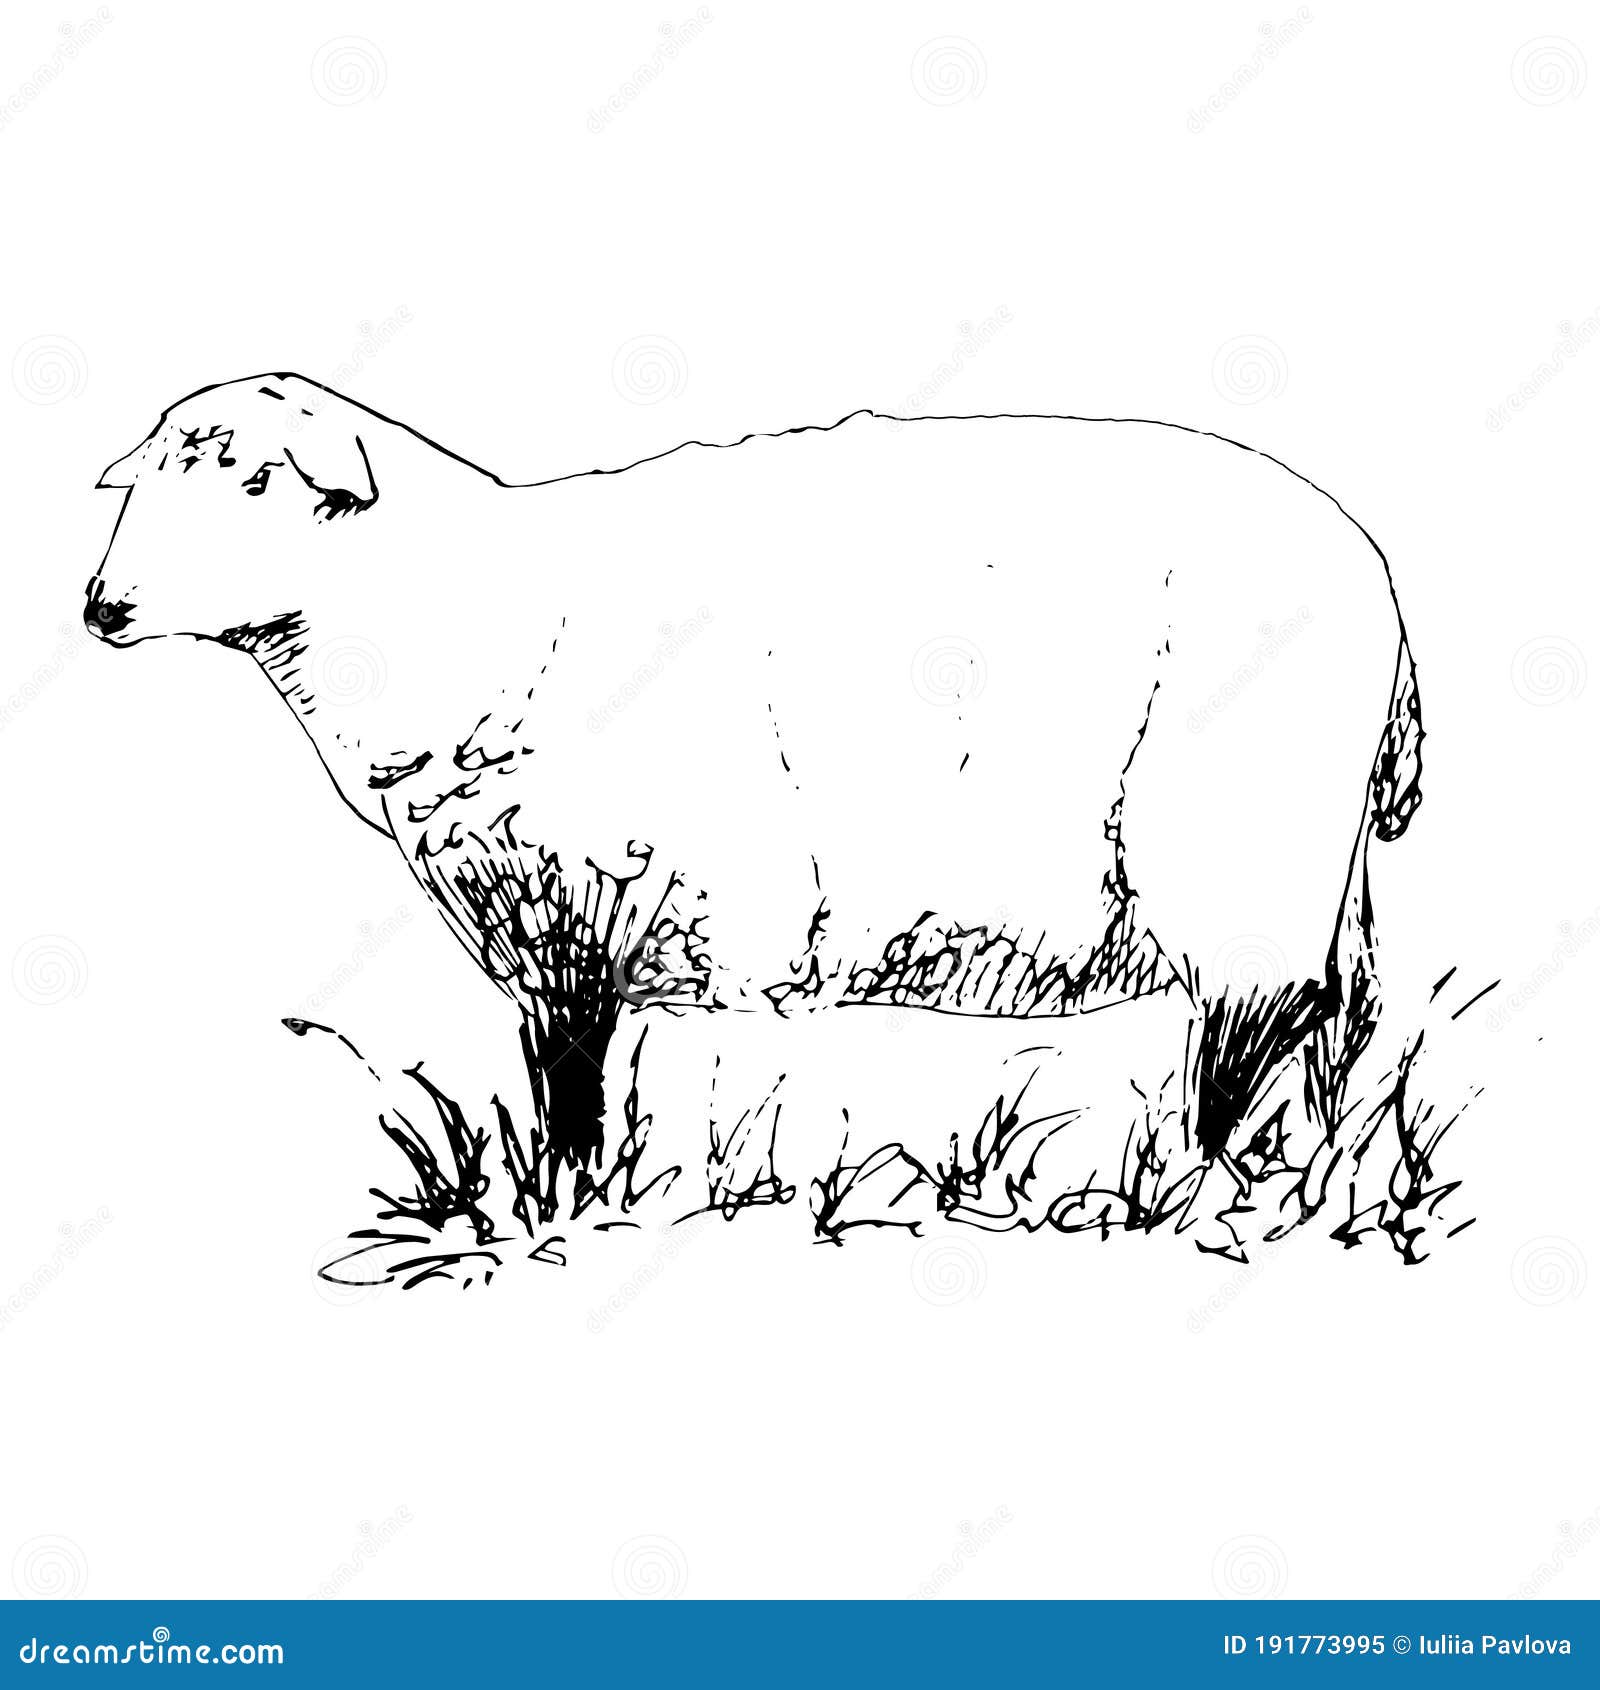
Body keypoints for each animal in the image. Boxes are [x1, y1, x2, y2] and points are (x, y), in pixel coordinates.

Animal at [85, 373, 1422, 1227]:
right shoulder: (558, 934)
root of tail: (1378, 577)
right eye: (146, 481)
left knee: (1257, 1018)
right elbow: (567, 1088)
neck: (464, 609)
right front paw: (568, 1205)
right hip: (1331, 865)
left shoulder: (653, 899)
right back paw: (1306, 1179)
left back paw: (1189, 1189)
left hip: (1243, 843)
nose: (100, 605)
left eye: (255, 481)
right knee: (1342, 1020)